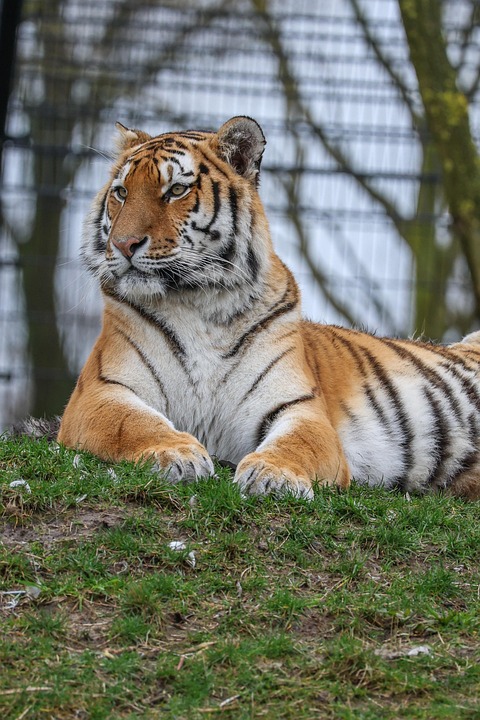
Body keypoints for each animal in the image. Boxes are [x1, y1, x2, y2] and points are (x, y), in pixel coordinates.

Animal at [57, 115, 480, 500]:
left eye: (176, 189)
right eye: (122, 192)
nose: (123, 244)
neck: (198, 301)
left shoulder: (300, 408)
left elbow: (297, 444)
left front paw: (273, 475)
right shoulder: (99, 392)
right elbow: (134, 423)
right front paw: (176, 453)